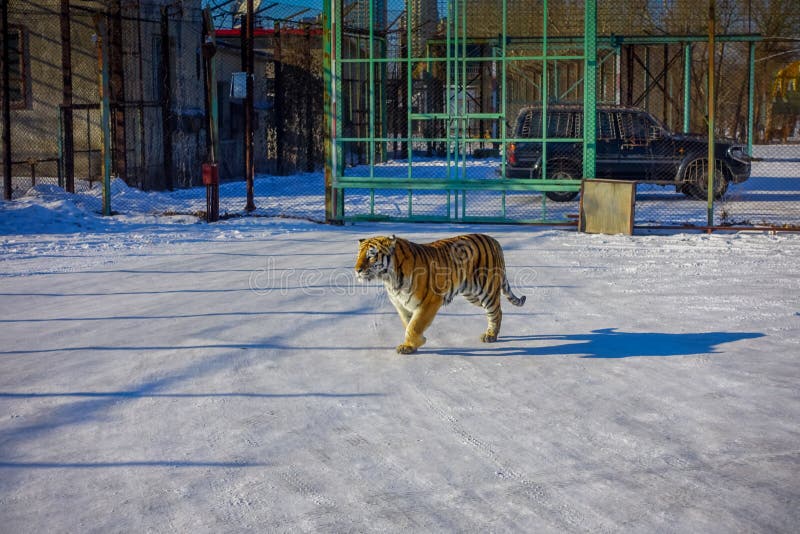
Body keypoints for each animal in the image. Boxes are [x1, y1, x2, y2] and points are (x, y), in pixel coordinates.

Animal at [355, 234, 526, 354]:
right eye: (358, 255)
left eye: (371, 255)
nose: (357, 270)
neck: (390, 279)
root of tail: (494, 240)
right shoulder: (400, 305)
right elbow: (408, 324)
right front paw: (411, 345)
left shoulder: (430, 301)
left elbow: (414, 325)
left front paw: (416, 342)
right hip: (472, 294)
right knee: (498, 309)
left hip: (487, 290)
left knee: (495, 311)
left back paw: (491, 335)